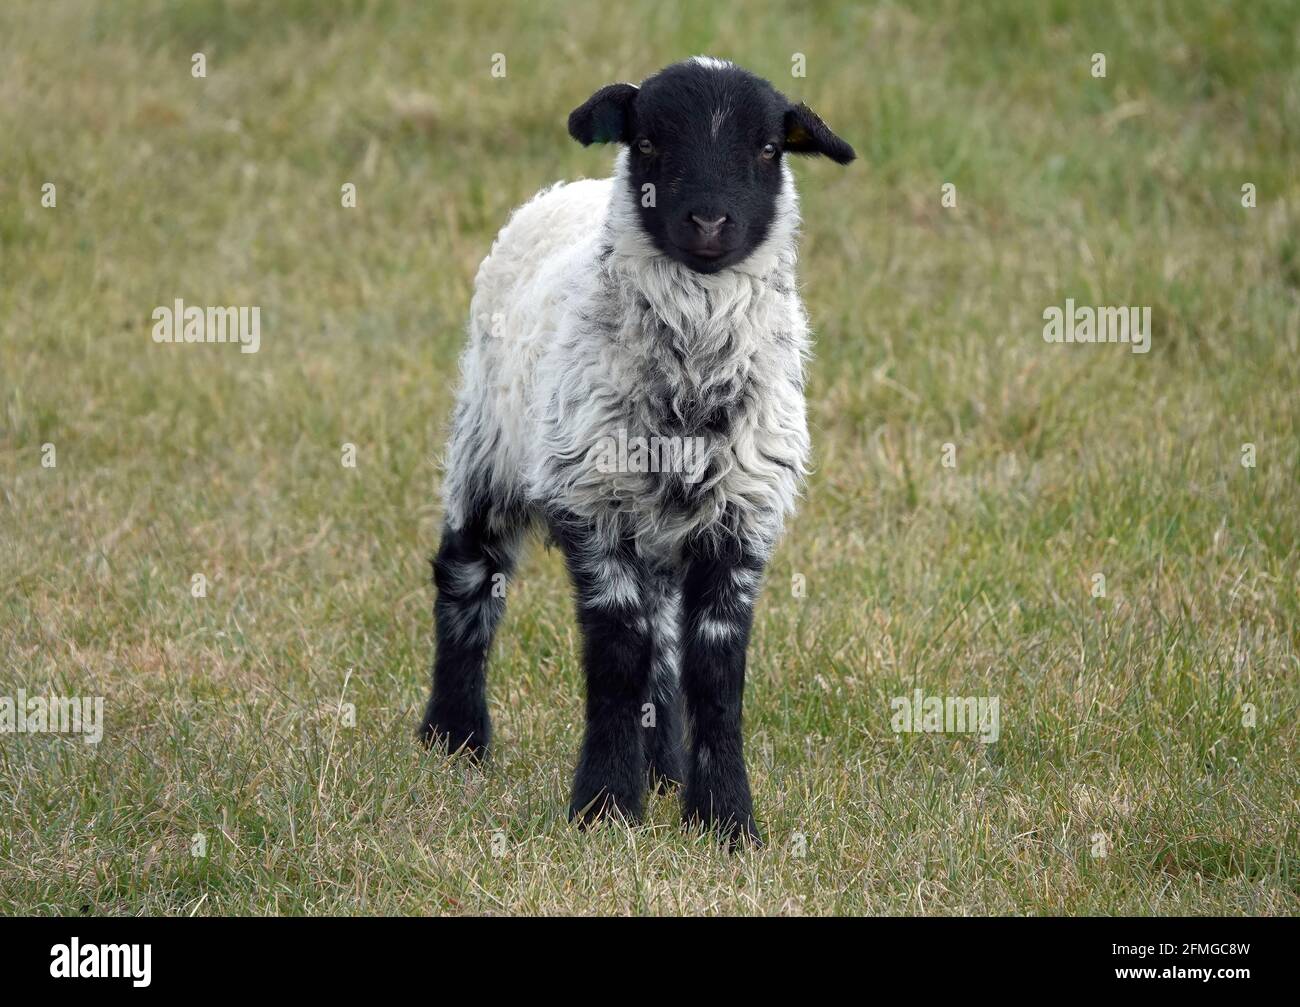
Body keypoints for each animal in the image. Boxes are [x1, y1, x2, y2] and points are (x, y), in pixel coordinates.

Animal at [418, 56, 854, 845]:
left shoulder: (741, 514)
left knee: (666, 643)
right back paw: (454, 735)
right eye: (649, 142)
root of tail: (569, 189)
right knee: (468, 575)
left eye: (767, 149)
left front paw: (723, 820)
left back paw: (664, 770)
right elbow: (617, 656)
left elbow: (715, 670)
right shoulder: (595, 503)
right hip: (487, 444)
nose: (709, 222)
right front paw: (604, 807)